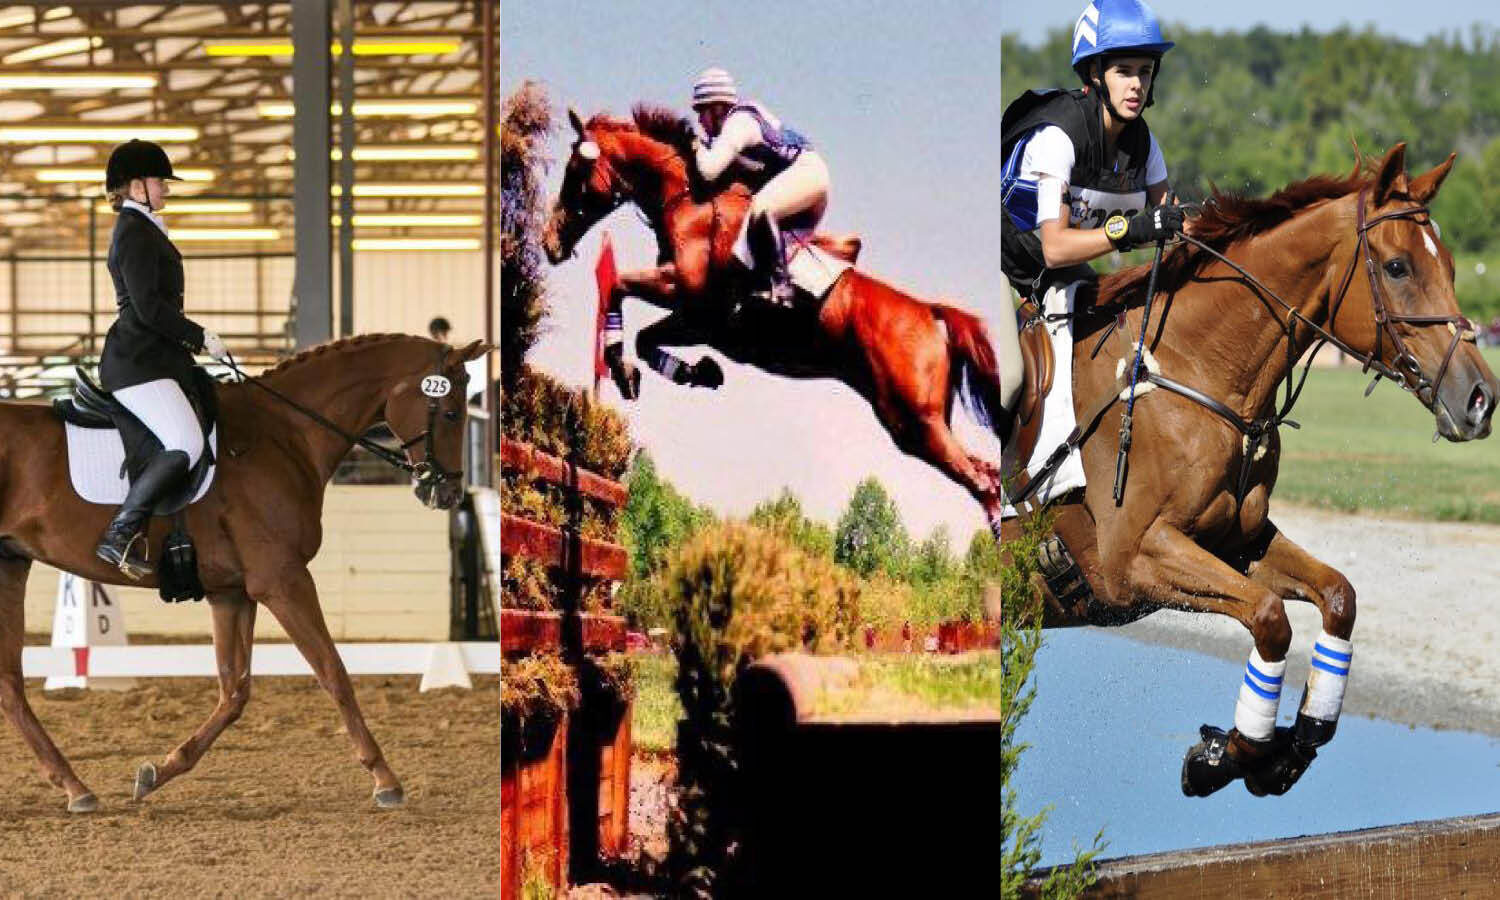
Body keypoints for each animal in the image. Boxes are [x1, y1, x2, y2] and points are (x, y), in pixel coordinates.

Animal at [0, 333, 491, 812]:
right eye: (451, 412)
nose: (448, 494)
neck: (285, 435)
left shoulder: (233, 591)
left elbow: (234, 690)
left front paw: (160, 771)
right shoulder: (282, 579)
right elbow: (333, 671)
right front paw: (385, 779)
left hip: (12, 564)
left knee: (10, 684)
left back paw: (75, 787)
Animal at [540, 105, 1009, 533]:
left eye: (575, 171)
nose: (549, 243)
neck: (689, 202)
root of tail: (930, 312)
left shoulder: (690, 301)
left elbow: (618, 286)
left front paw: (621, 365)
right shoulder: (697, 321)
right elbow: (644, 337)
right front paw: (695, 373)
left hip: (913, 421)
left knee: (982, 481)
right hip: (926, 421)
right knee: (986, 471)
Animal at [1001, 143, 1499, 797]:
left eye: (1453, 269)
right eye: (1397, 267)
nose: (1480, 399)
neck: (1195, 368)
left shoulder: (1240, 540)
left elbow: (1337, 597)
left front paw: (1294, 742)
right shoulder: (1132, 559)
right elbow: (1270, 619)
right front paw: (1229, 755)